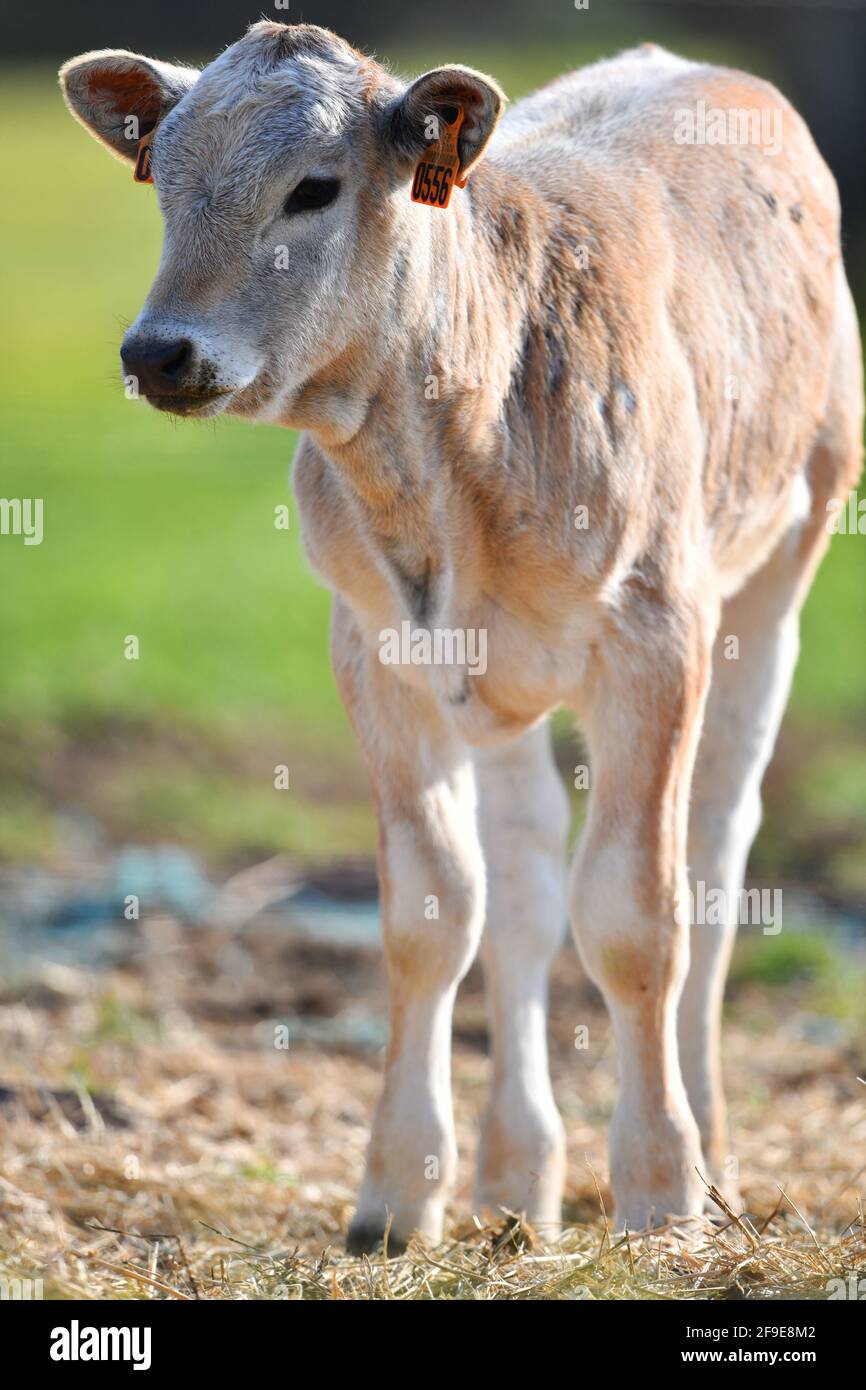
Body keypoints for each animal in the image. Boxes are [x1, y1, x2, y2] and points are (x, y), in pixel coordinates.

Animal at [60, 21, 863, 1249]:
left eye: (314, 187)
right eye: (165, 181)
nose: (157, 352)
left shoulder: (658, 629)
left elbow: (636, 913)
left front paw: (661, 1192)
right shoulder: (375, 650)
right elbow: (435, 911)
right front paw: (397, 1192)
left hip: (779, 570)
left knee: (716, 859)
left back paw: (713, 1153)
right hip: (497, 682)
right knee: (525, 884)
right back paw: (513, 1173)